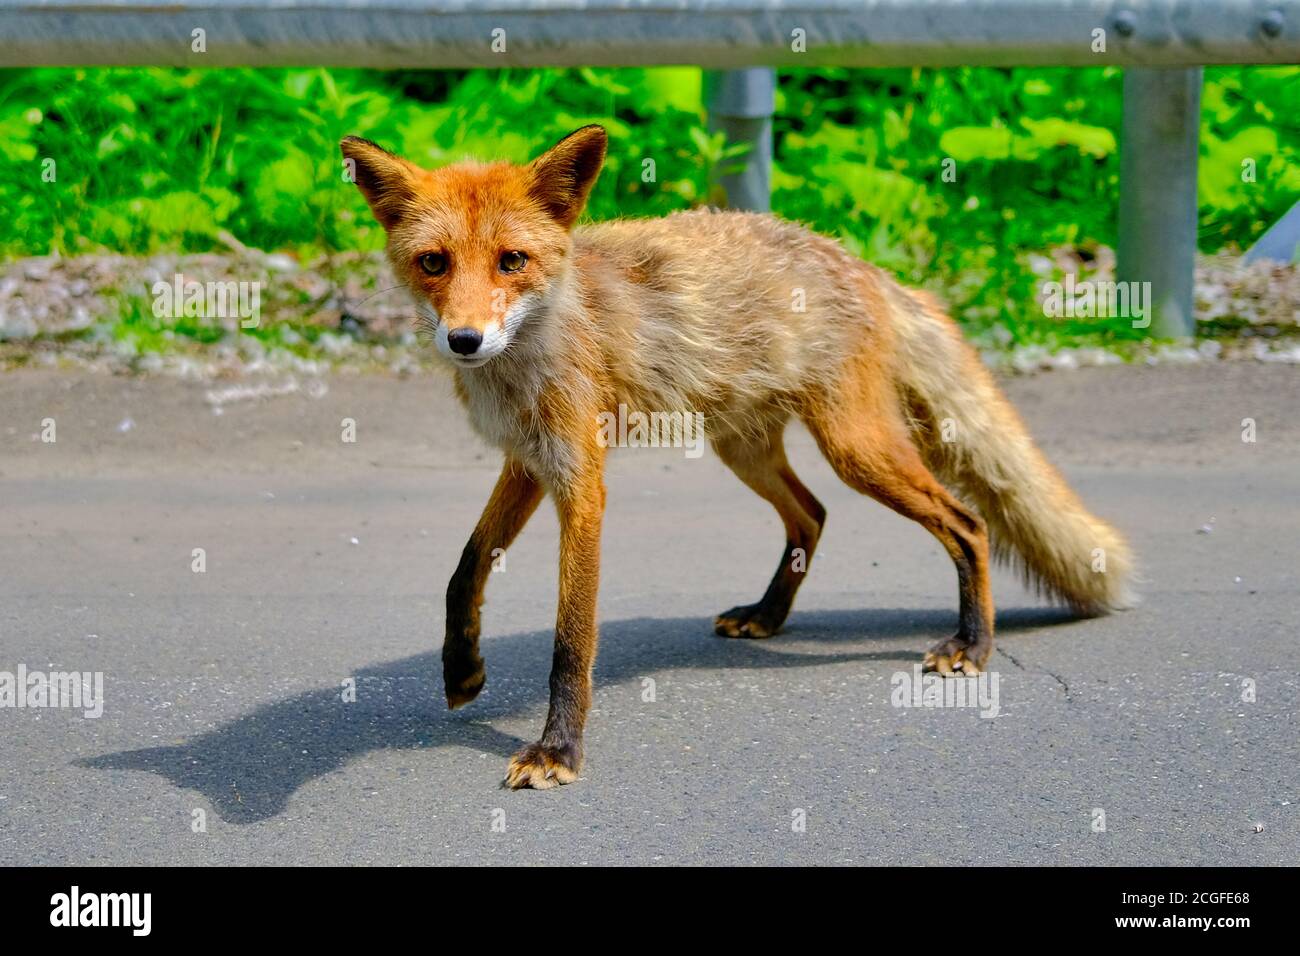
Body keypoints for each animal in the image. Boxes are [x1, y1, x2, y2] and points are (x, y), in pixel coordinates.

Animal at [340, 125, 1133, 790]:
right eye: (433, 263)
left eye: (513, 261)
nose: (465, 340)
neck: (537, 347)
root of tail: (859, 262)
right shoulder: (531, 462)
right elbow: (464, 568)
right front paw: (462, 670)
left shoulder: (582, 481)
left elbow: (571, 641)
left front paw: (558, 751)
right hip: (744, 449)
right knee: (812, 515)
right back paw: (768, 614)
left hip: (857, 449)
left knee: (968, 523)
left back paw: (973, 645)